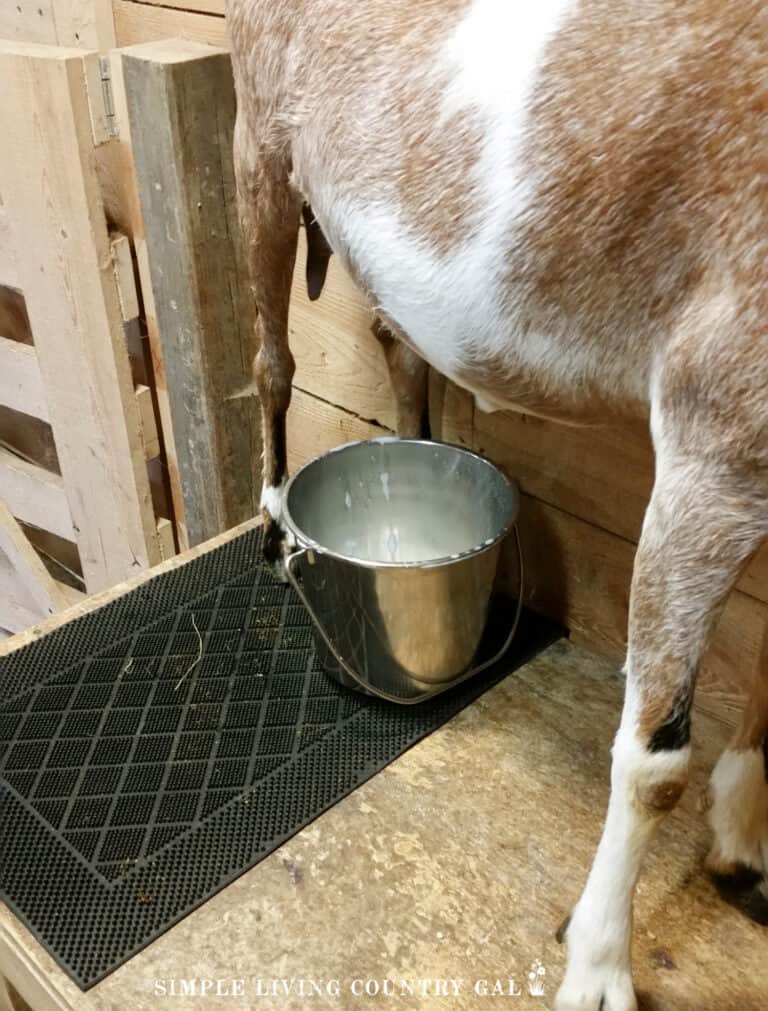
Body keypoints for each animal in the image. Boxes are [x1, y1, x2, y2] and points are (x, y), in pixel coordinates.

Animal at [227, 1, 768, 1007]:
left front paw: (745, 834)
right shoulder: (715, 438)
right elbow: (655, 761)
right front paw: (597, 967)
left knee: (392, 339)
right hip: (261, 152)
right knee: (271, 359)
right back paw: (277, 527)